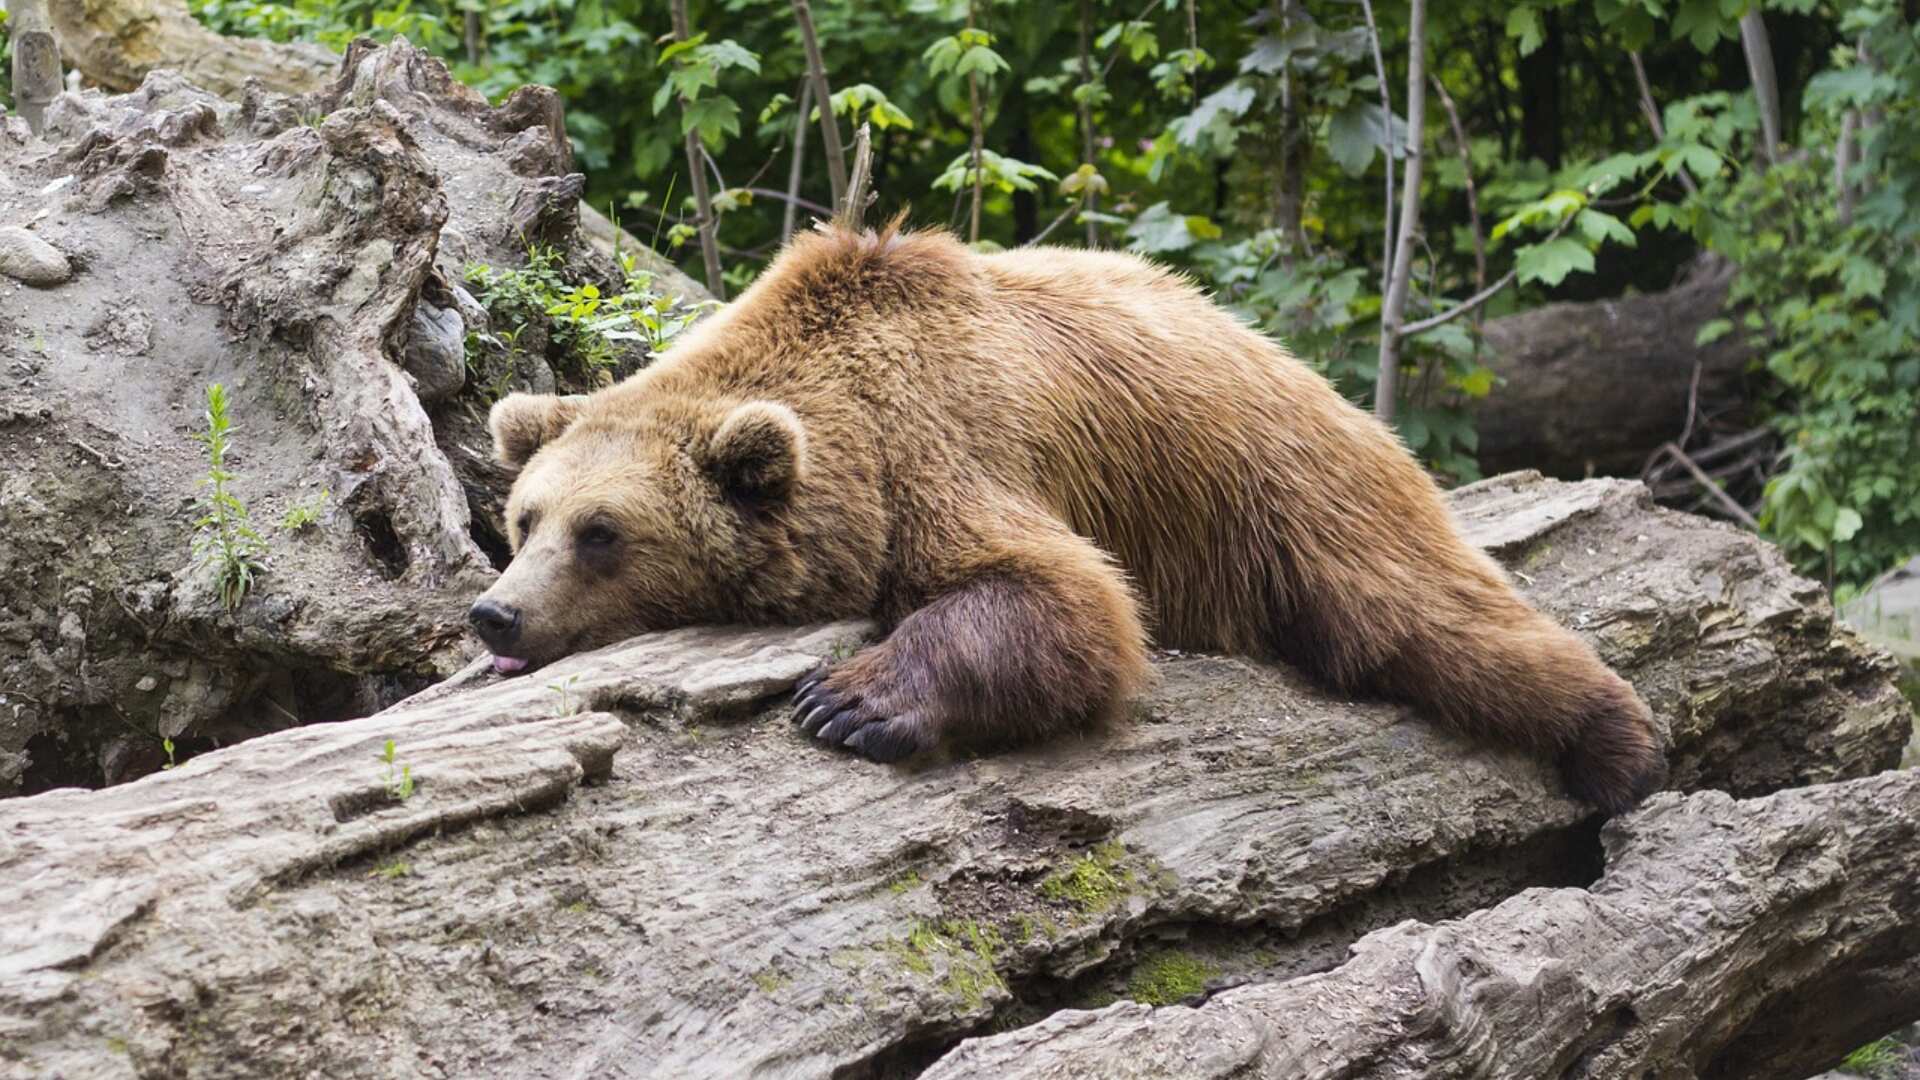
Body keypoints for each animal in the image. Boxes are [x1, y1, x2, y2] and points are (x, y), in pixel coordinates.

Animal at [470, 221, 1667, 814]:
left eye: (603, 533)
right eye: (524, 521)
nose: (497, 616)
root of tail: (1284, 354)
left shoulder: (946, 450)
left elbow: (1066, 596)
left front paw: (849, 702)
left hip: (1286, 488)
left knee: (1422, 618)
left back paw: (1620, 745)